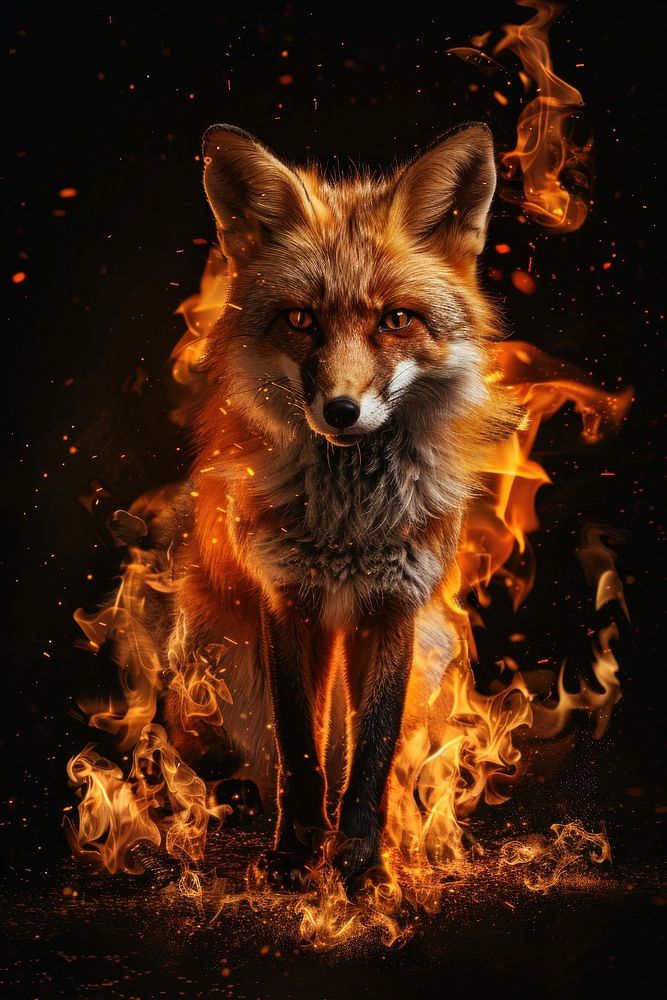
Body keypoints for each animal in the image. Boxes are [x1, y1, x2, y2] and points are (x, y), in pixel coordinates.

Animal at [124, 121, 523, 893]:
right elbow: (300, 748)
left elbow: (369, 752)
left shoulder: (396, 608)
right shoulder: (286, 604)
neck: (349, 530)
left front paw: (361, 861)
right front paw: (295, 852)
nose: (341, 410)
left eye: (396, 320)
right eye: (300, 319)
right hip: (219, 652)